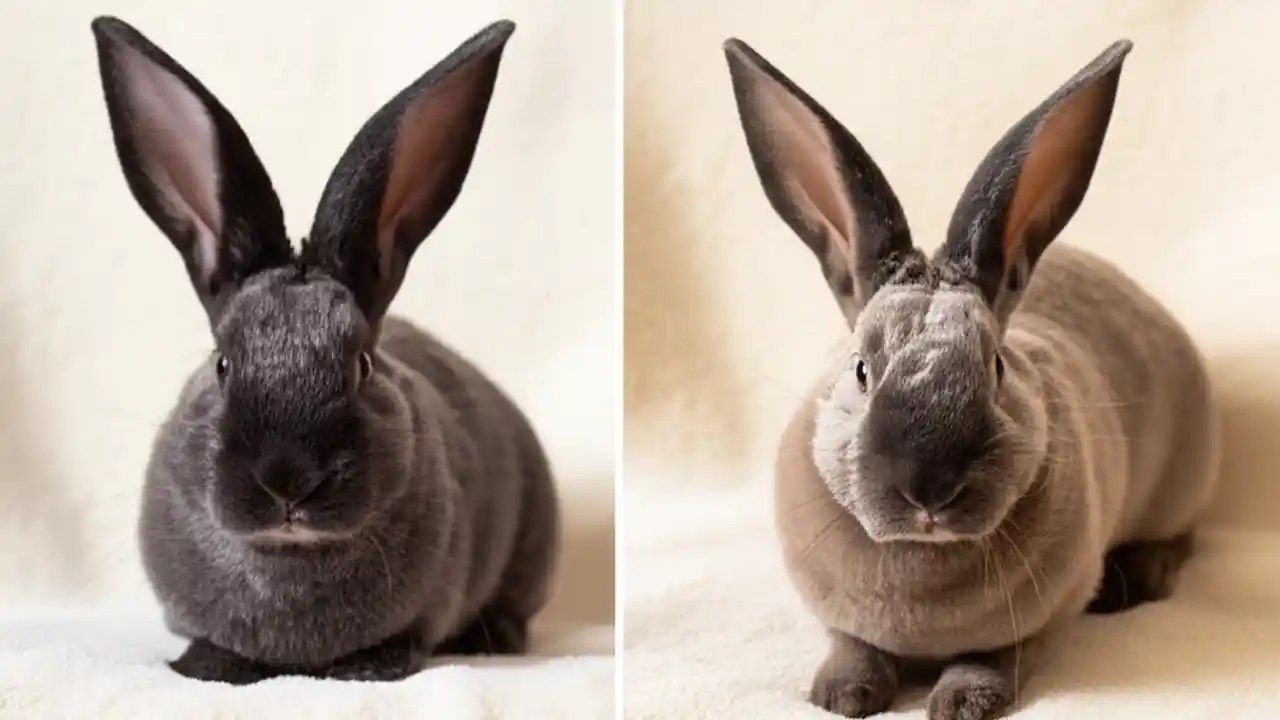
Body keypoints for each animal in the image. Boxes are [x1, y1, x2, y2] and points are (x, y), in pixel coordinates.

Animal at [726, 38, 1218, 720]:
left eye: (996, 367)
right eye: (860, 369)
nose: (928, 492)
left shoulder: (1041, 621)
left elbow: (994, 659)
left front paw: (962, 701)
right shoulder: (839, 619)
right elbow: (852, 645)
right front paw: (842, 694)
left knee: (1183, 537)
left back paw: (1139, 580)